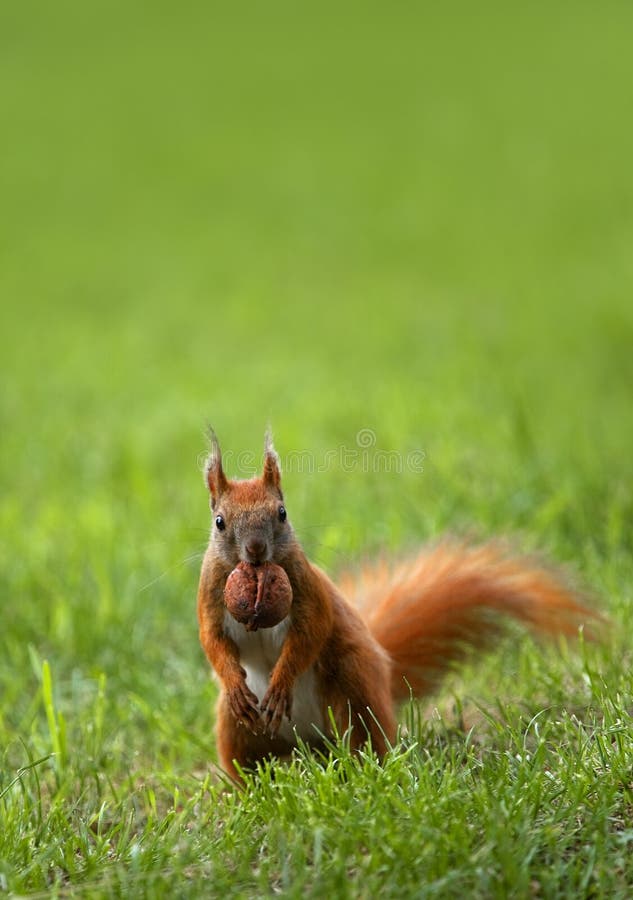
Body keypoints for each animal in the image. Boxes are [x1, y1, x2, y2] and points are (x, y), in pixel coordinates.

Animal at [197, 432, 596, 782]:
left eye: (281, 513)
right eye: (219, 522)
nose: (255, 550)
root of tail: (307, 741)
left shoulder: (308, 589)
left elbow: (311, 631)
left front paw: (282, 682)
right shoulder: (209, 596)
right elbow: (212, 641)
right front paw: (233, 680)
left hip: (353, 687)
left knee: (363, 738)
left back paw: (361, 772)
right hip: (236, 727)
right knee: (246, 759)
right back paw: (243, 792)